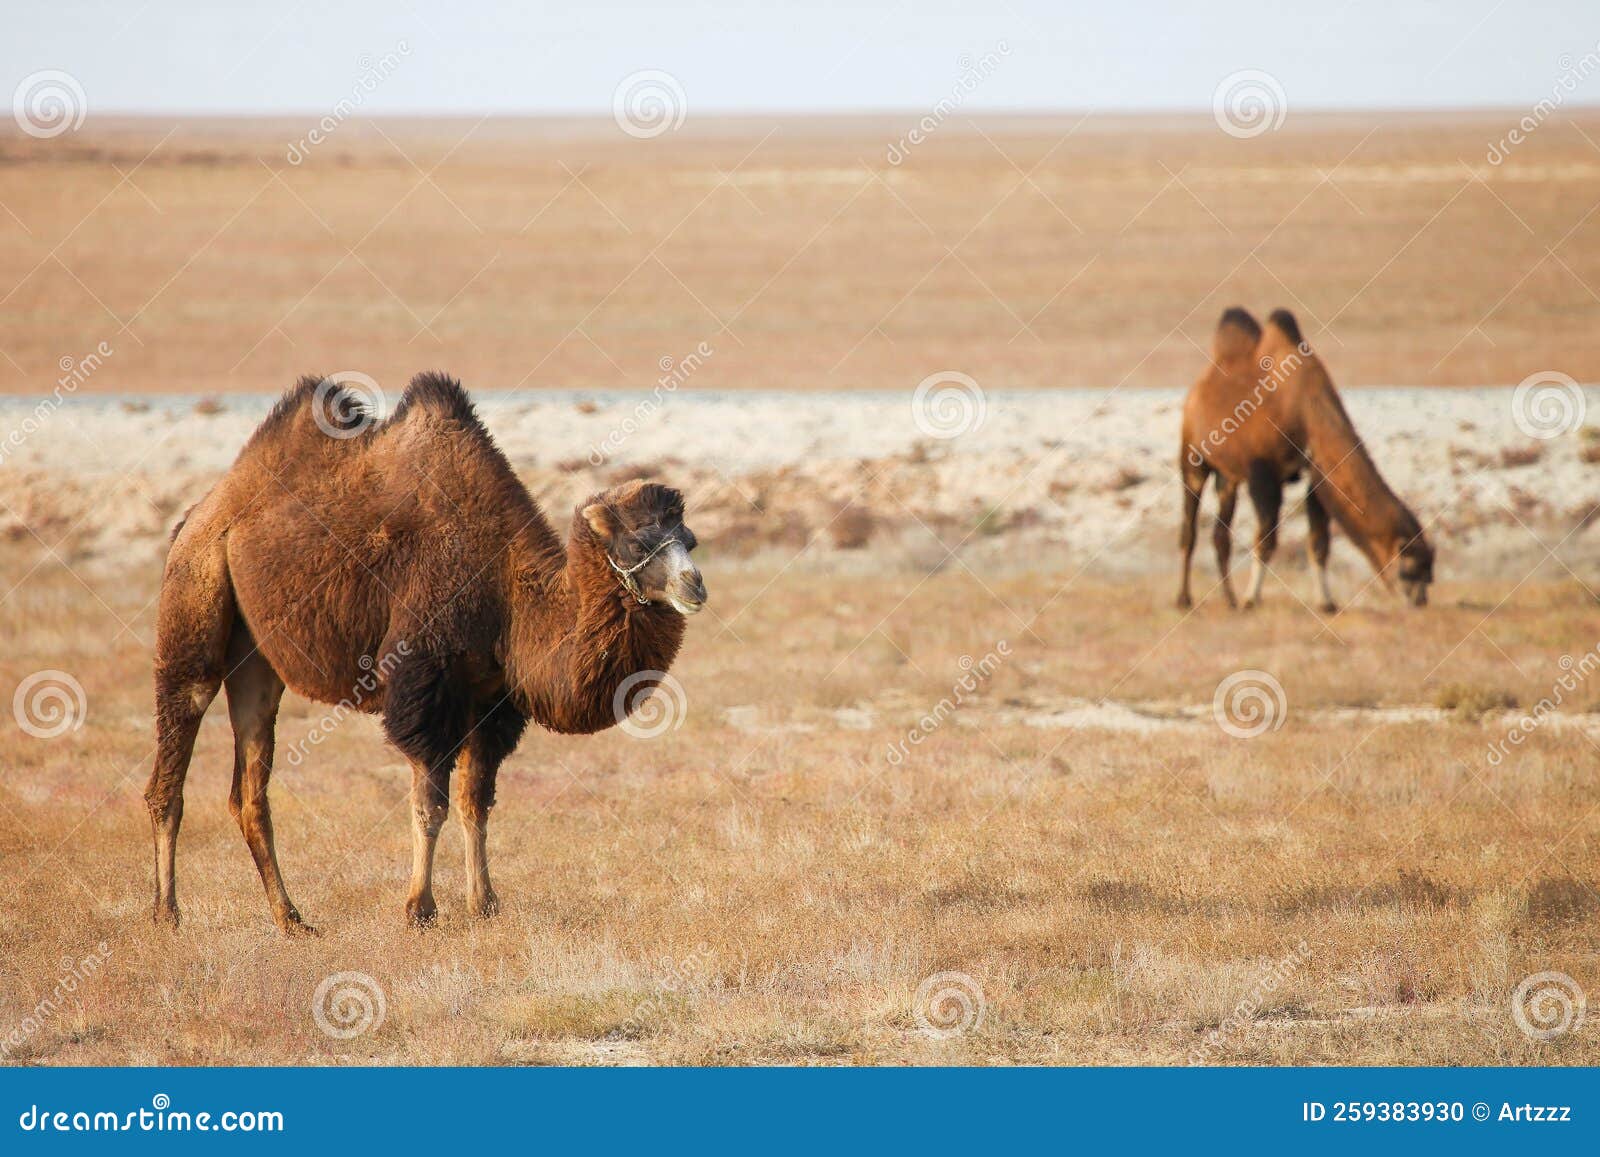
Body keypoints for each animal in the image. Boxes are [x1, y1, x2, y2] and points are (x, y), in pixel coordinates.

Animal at [144, 373, 707, 933]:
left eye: (690, 540)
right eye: (639, 545)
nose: (695, 585)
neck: (509, 592)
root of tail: (197, 515)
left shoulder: (490, 699)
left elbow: (475, 803)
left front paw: (484, 903)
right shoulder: (423, 687)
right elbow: (428, 805)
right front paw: (420, 909)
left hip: (257, 659)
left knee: (249, 789)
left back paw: (290, 918)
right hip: (194, 597)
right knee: (173, 762)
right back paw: (167, 912)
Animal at [1177, 307, 1433, 612]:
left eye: (1429, 574)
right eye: (1409, 570)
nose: (1419, 601)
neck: (1306, 410)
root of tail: (1197, 390)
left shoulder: (1315, 473)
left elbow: (1319, 542)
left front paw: (1326, 602)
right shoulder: (1262, 472)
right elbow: (1266, 539)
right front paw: (1252, 598)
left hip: (1227, 476)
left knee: (1220, 535)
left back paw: (1229, 600)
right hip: (1193, 456)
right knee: (1190, 530)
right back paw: (1184, 598)